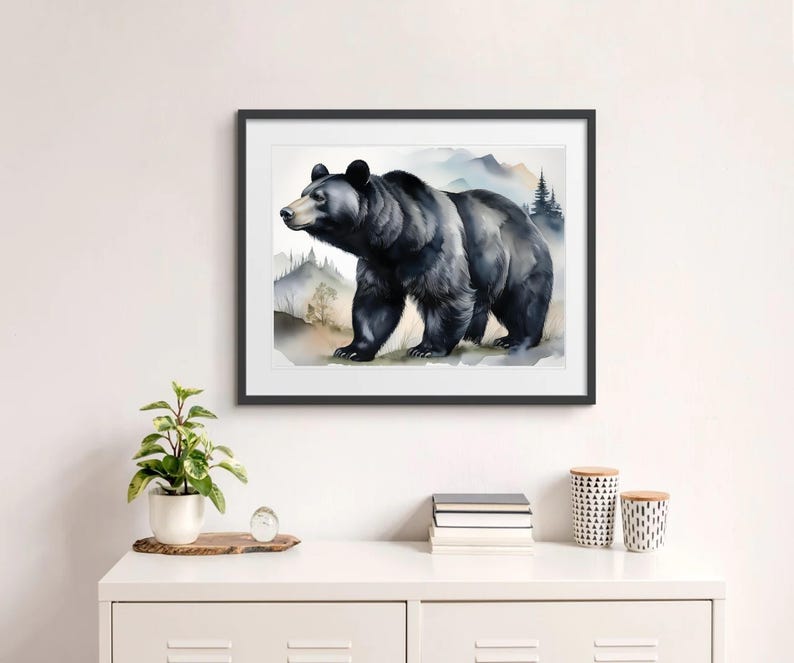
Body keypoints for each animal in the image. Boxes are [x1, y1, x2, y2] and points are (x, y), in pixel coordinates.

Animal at [279, 159, 553, 362]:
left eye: (319, 197)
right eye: (303, 193)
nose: (286, 212)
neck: (397, 239)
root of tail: (527, 219)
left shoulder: (436, 249)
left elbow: (446, 295)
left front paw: (425, 348)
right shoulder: (378, 264)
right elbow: (375, 302)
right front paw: (351, 349)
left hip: (517, 257)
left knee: (522, 300)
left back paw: (516, 338)